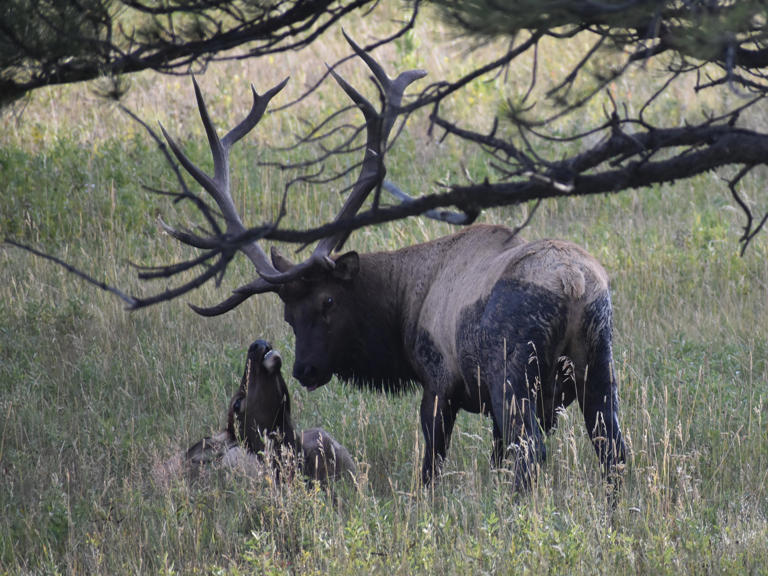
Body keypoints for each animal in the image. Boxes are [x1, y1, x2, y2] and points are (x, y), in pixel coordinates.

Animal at [140, 32, 626, 492]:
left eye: (329, 301)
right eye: (287, 314)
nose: (304, 369)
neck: (406, 309)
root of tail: (573, 284)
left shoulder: (440, 380)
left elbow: (431, 467)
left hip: (514, 370)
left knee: (533, 451)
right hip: (599, 364)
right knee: (614, 450)